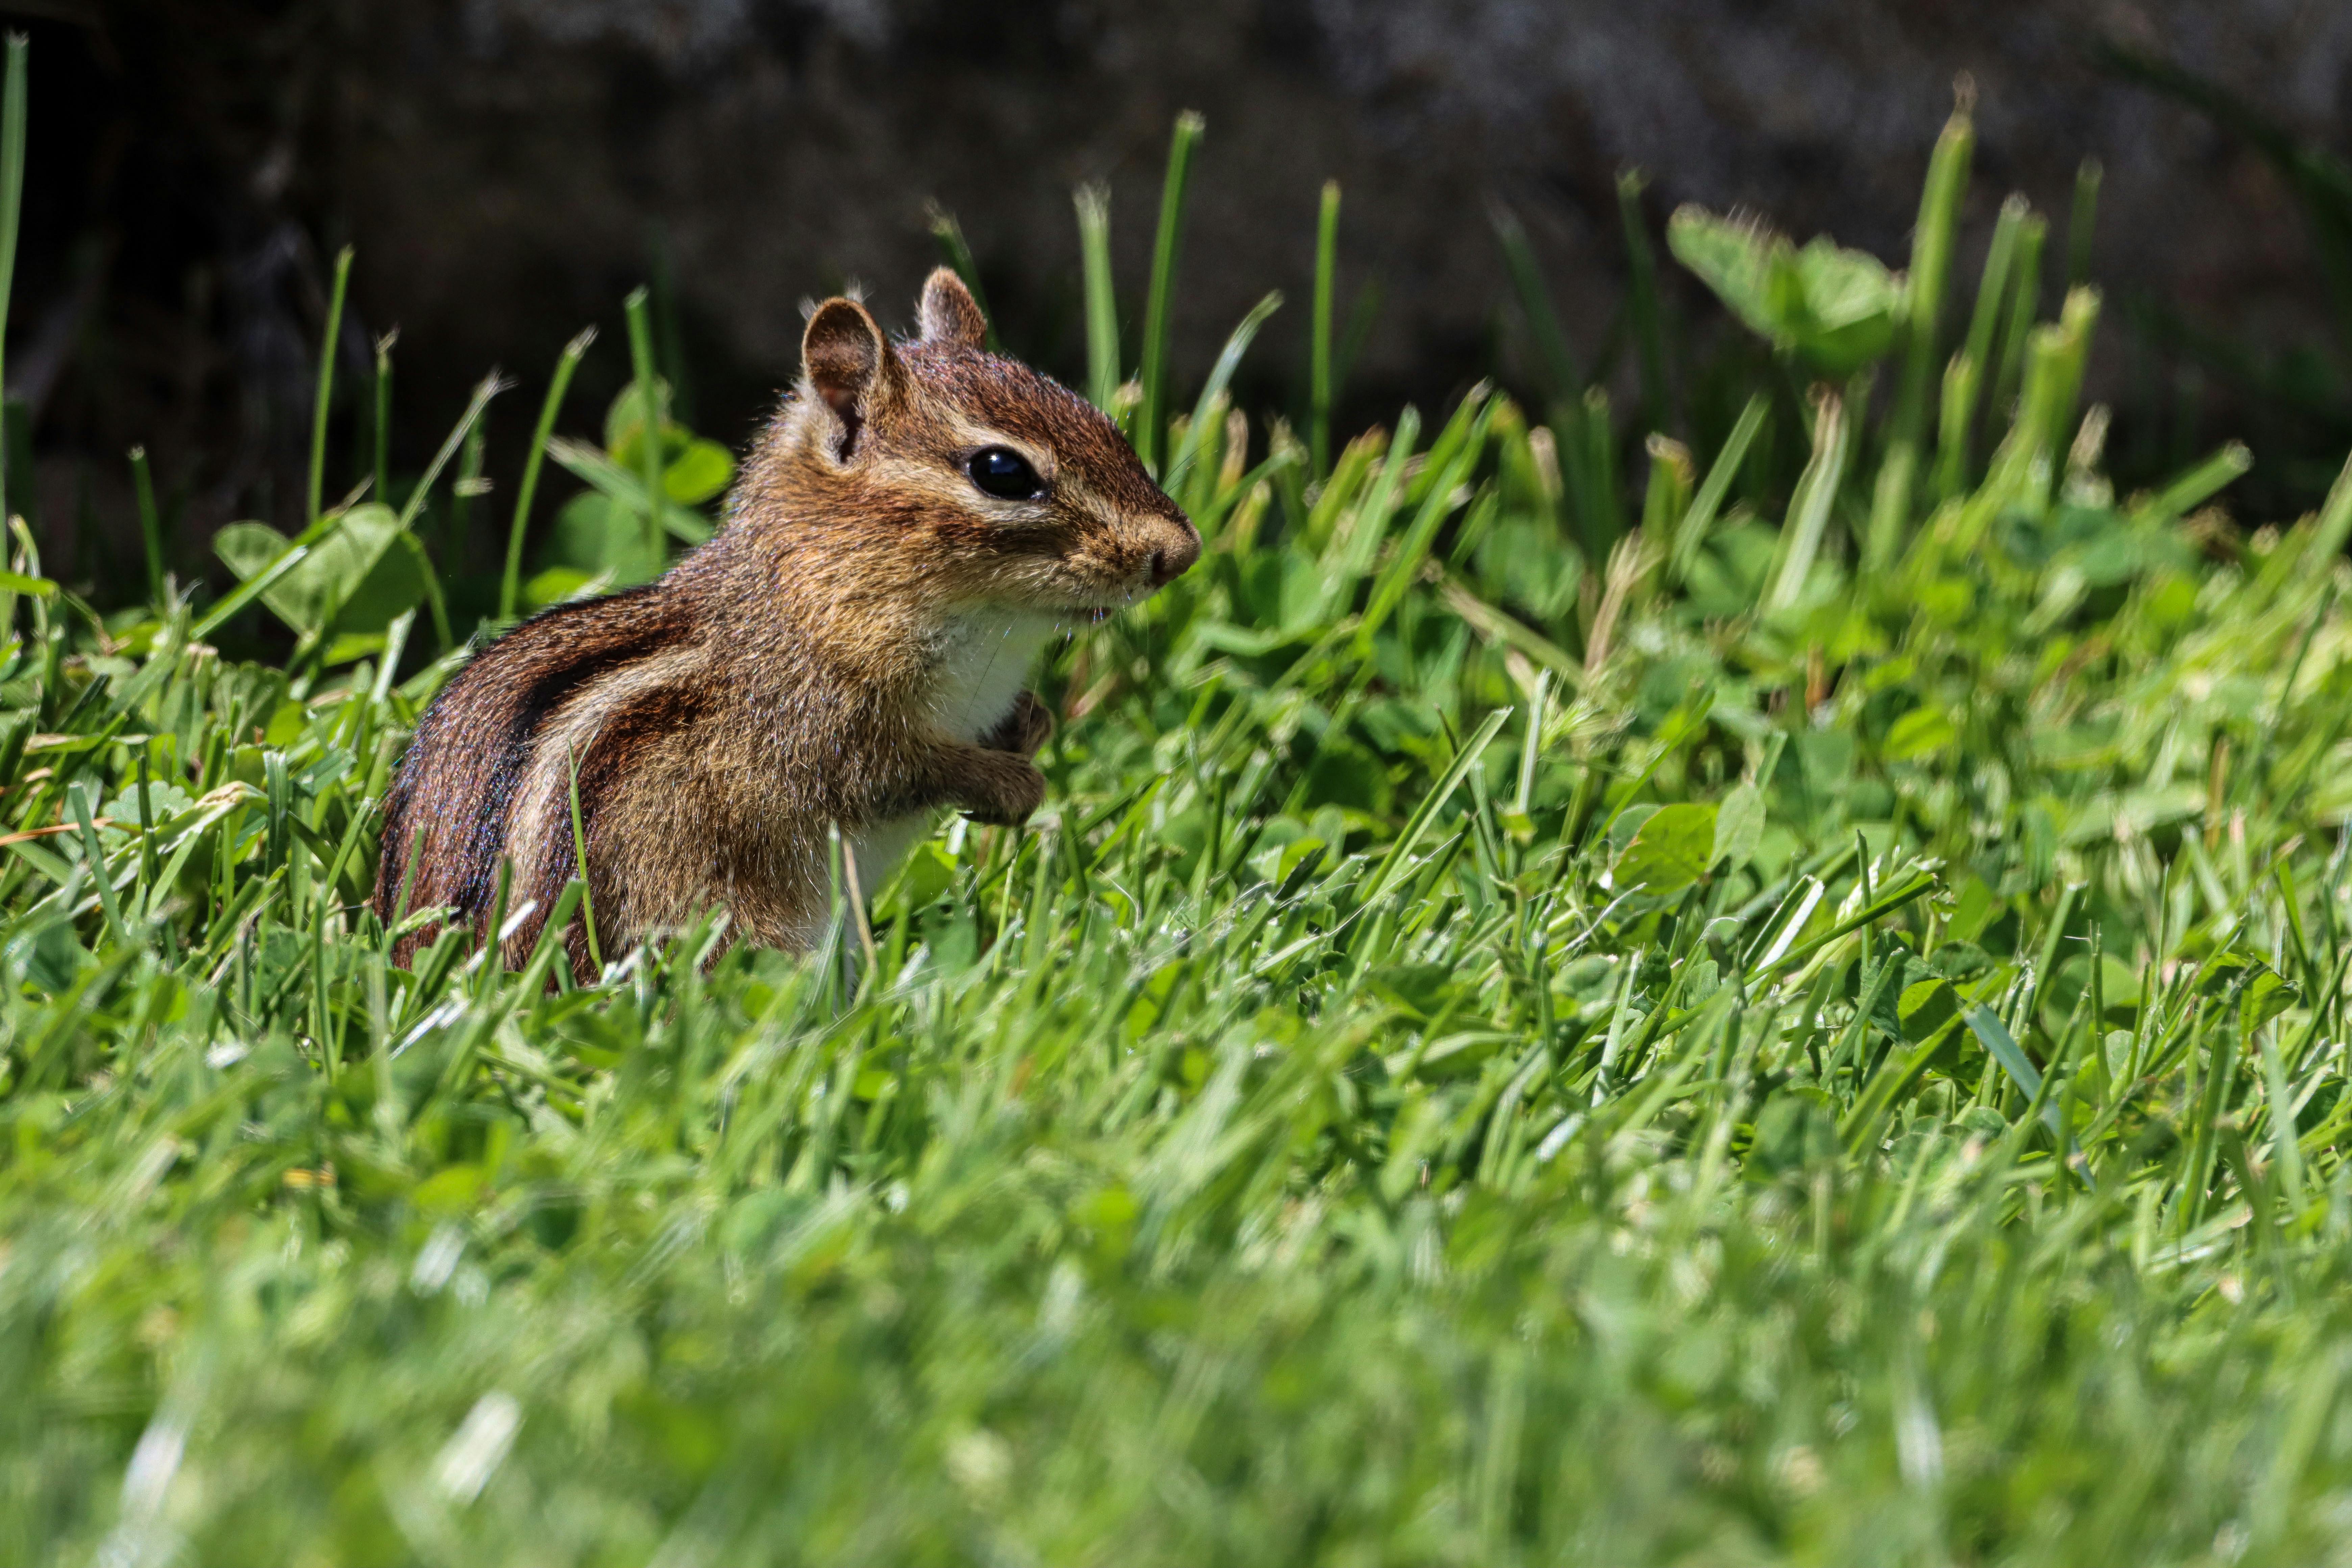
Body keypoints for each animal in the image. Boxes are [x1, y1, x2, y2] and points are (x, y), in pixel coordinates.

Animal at [373, 267, 1199, 978]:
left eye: (1104, 423)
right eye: (1002, 471)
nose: (1181, 553)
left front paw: (1032, 724)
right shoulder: (820, 730)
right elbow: (900, 772)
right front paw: (1012, 783)